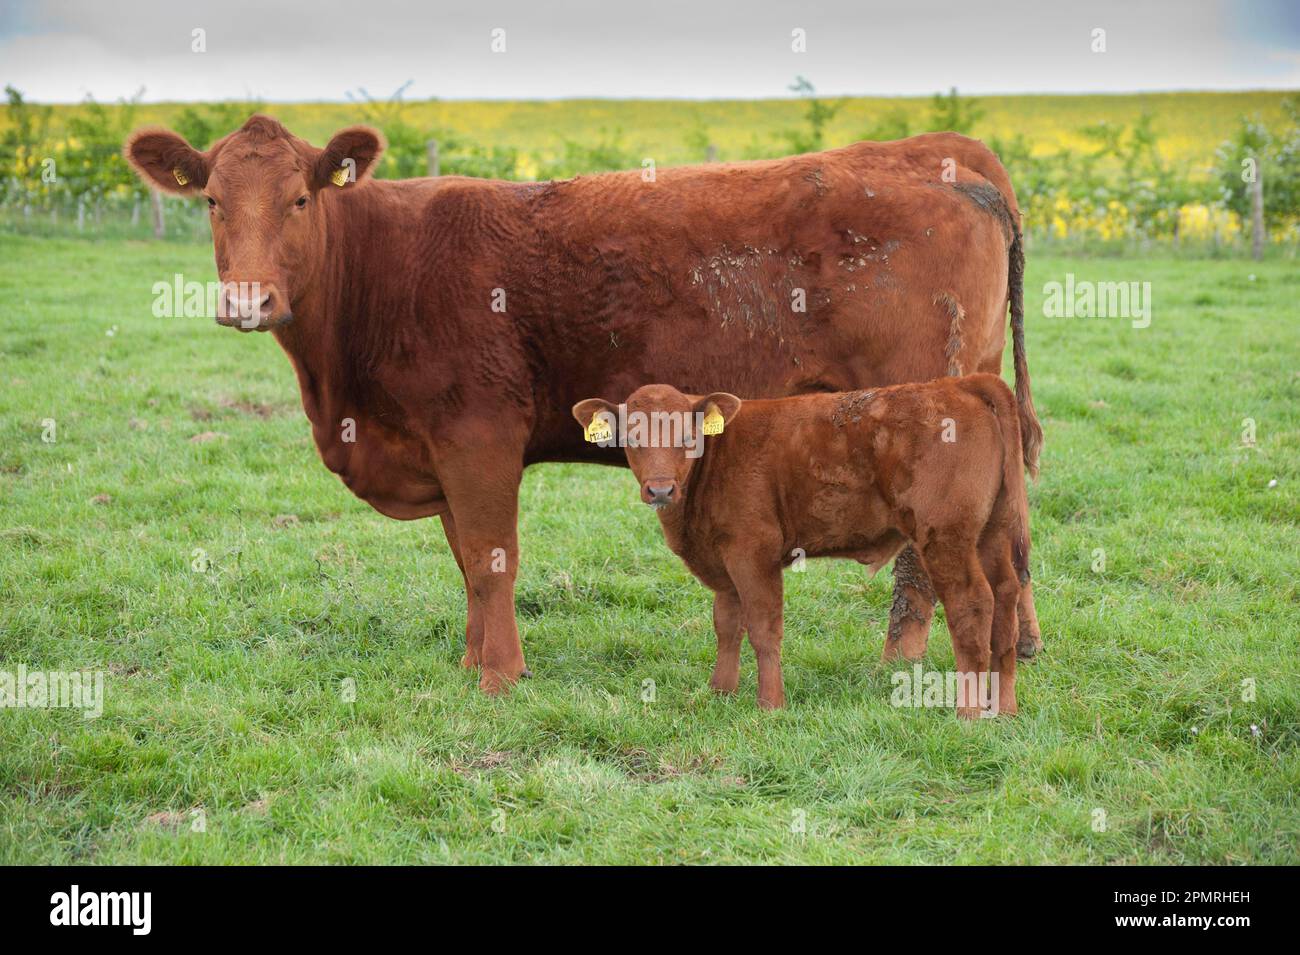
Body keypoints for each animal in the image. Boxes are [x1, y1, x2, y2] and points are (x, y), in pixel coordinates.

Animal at [571, 375, 1029, 716]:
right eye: (632, 437)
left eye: (688, 434)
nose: (661, 489)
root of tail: (959, 383)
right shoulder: (724, 559)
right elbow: (727, 624)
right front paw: (720, 692)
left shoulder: (753, 550)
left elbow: (763, 628)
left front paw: (770, 704)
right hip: (992, 531)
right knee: (1006, 596)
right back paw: (1004, 708)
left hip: (947, 536)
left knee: (973, 604)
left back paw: (968, 713)